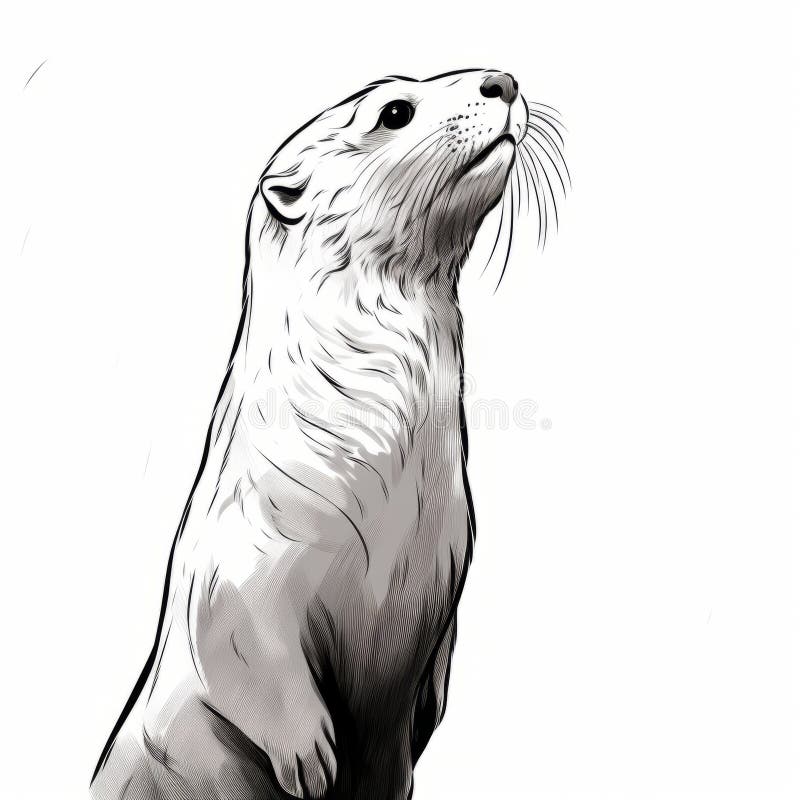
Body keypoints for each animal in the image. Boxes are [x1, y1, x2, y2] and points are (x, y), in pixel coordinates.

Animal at [91, 68, 566, 800]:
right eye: (394, 111)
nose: (503, 80)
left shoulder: (450, 561)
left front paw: (427, 710)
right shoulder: (239, 556)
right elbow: (236, 638)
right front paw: (309, 752)